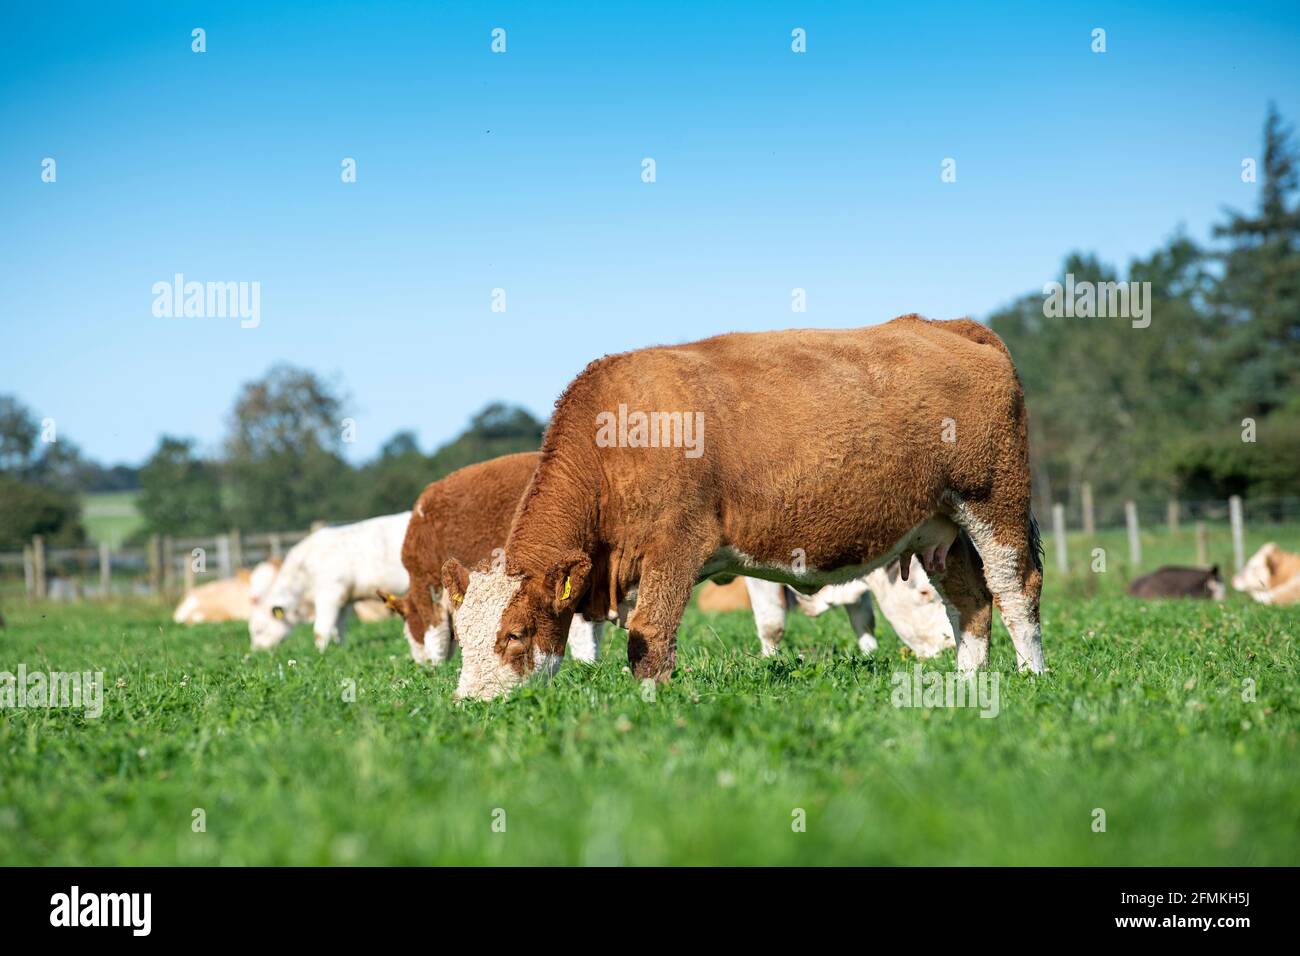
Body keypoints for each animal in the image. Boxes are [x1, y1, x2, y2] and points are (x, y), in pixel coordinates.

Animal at [248, 513, 410, 651]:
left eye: (259, 630)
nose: (256, 651)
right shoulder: (344, 600)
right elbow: (339, 628)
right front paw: (341, 649)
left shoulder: (330, 593)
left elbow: (321, 629)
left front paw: (320, 653)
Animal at [441, 315, 1044, 700]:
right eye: (461, 636)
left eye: (516, 632)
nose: (472, 704)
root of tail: (945, 324)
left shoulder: (675, 546)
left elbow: (648, 637)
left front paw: (647, 713)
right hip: (938, 528)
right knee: (970, 601)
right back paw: (967, 685)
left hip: (996, 503)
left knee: (1016, 589)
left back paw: (1033, 677)